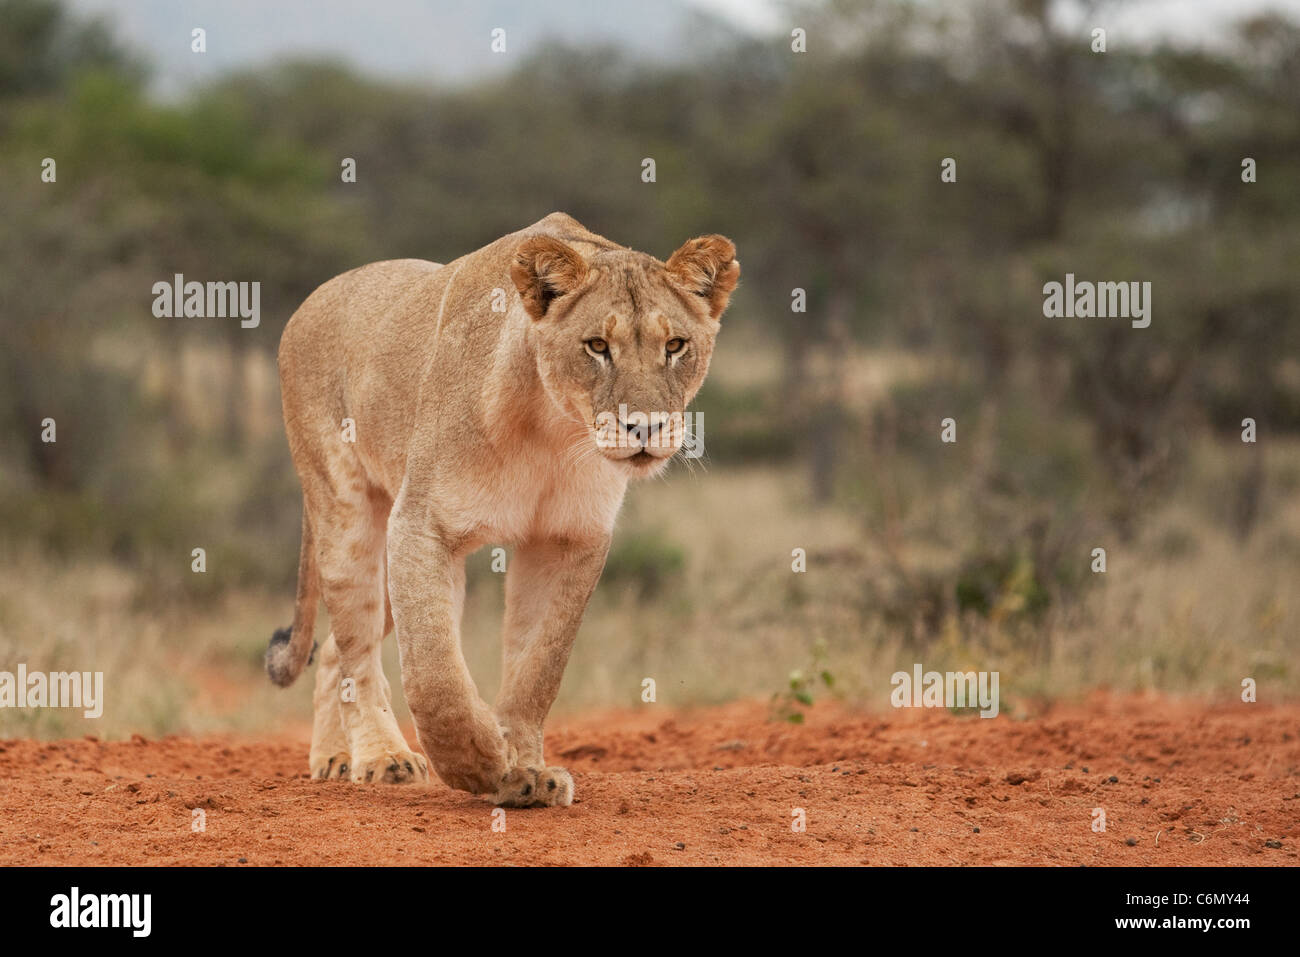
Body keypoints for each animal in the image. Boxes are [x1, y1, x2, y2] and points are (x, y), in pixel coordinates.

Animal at [265, 212, 739, 806]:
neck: (552, 429)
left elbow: (539, 666)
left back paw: (335, 757)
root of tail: (316, 296)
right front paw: (480, 763)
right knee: (355, 642)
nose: (645, 428)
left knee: (333, 649)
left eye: (675, 344)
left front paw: (527, 770)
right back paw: (381, 757)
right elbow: (435, 673)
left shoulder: (568, 539)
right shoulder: (420, 525)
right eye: (597, 346)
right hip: (348, 515)